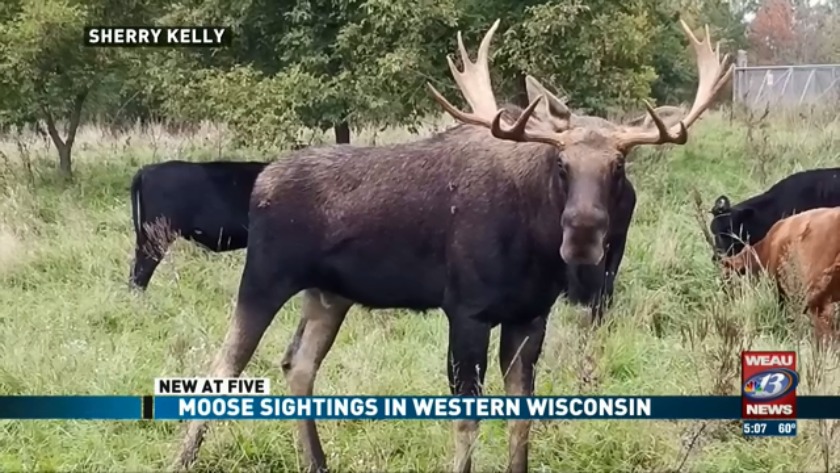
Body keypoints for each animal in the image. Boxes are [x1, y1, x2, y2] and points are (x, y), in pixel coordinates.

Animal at [172, 19, 732, 473]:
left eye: (618, 166)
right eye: (561, 164)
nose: (582, 233)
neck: (534, 249)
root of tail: (260, 181)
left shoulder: (530, 316)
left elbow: (521, 415)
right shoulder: (467, 309)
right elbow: (467, 418)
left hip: (329, 294)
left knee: (298, 364)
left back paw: (315, 461)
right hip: (265, 276)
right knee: (224, 364)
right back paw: (184, 458)